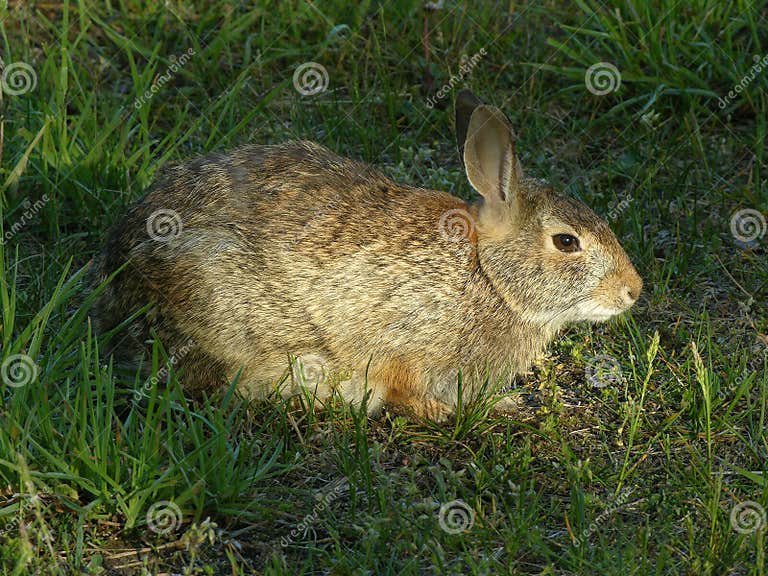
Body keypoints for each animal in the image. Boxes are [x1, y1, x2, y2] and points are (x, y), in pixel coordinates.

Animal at [91, 90, 642, 420]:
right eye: (567, 242)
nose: (632, 291)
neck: (489, 276)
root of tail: (117, 278)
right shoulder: (407, 349)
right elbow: (405, 389)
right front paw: (462, 410)